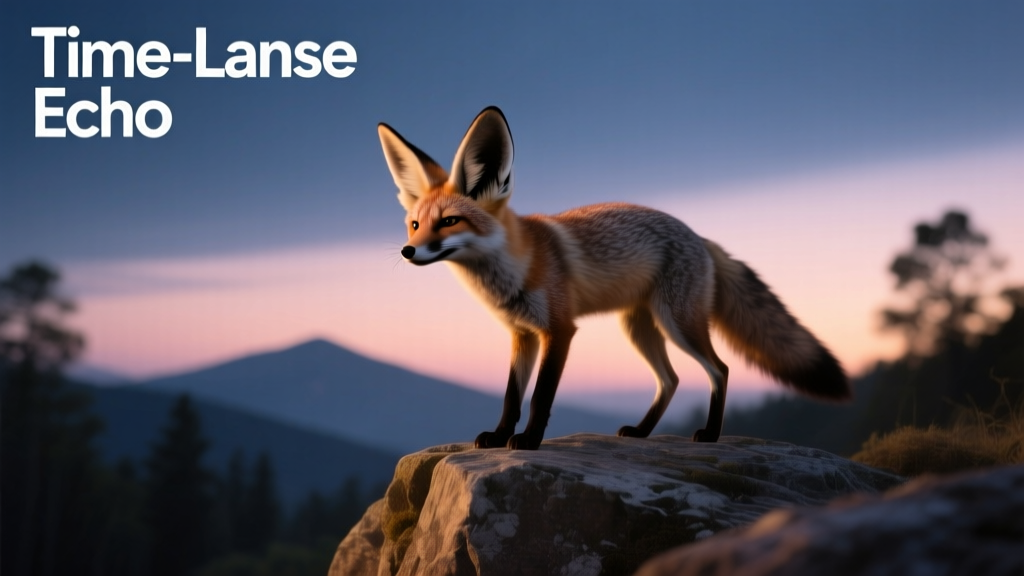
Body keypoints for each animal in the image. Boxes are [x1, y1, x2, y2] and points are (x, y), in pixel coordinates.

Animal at [377, 106, 850, 450]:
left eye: (450, 222)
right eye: (414, 225)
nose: (407, 251)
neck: (510, 273)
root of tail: (698, 235)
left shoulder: (560, 330)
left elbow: (540, 397)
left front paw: (528, 441)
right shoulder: (521, 334)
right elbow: (512, 396)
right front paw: (498, 436)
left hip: (679, 324)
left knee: (720, 369)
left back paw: (710, 435)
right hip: (638, 328)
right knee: (671, 380)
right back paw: (641, 432)